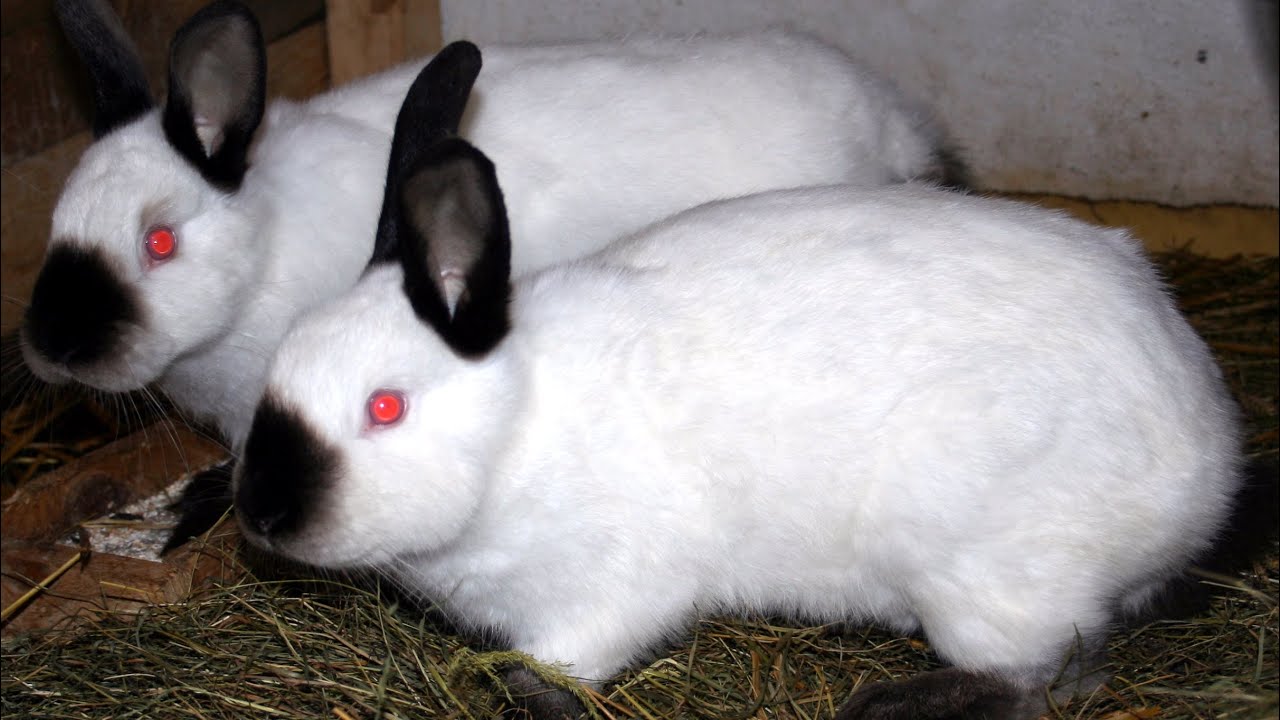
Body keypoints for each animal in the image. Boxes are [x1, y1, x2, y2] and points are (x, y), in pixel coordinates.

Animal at [231, 120, 1244, 719]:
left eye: (385, 407)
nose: (261, 514)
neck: (516, 429)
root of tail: (1209, 461)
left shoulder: (611, 591)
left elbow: (561, 661)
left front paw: (527, 696)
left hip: (992, 577)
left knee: (1043, 680)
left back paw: (889, 702)